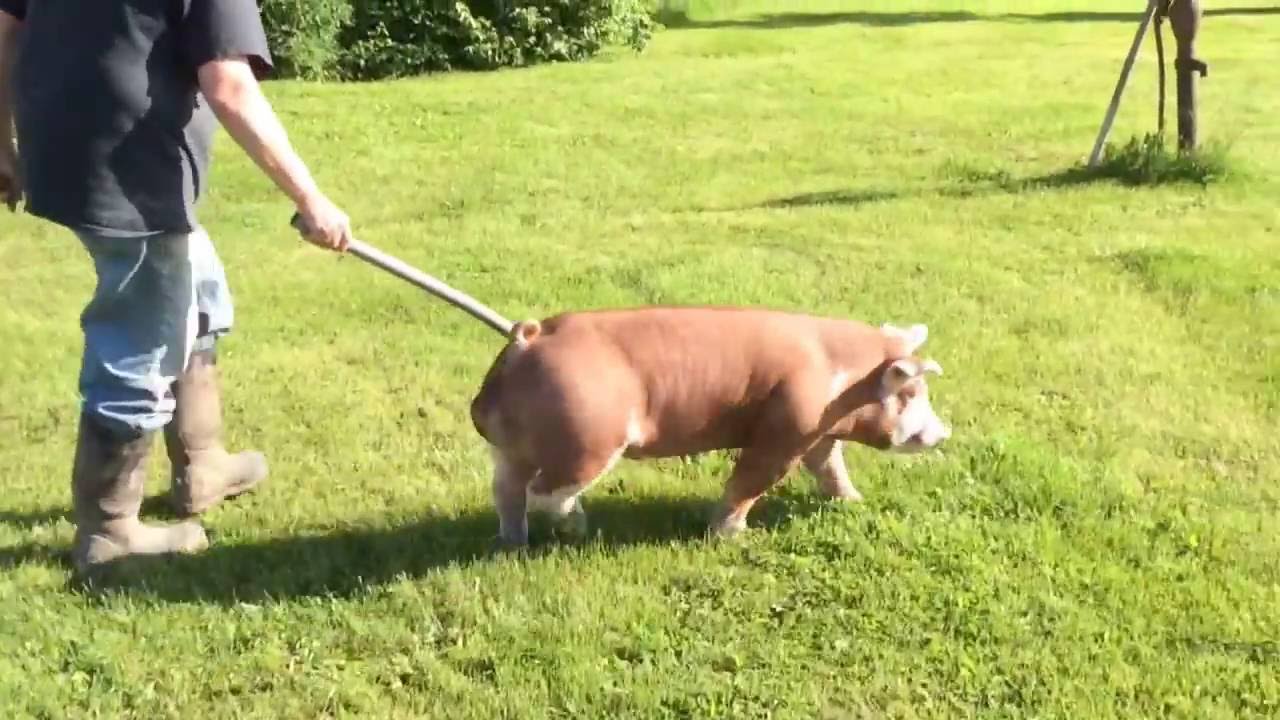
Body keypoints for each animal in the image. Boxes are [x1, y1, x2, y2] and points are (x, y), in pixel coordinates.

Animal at [469, 306, 951, 547]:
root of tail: (527, 339)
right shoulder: (785, 429)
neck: (843, 375)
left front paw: (853, 501)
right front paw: (731, 534)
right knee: (543, 492)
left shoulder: (816, 430)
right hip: (588, 441)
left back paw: (513, 541)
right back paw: (580, 530)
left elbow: (830, 466)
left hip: (510, 448)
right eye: (910, 391)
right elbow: (751, 480)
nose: (943, 432)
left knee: (507, 490)